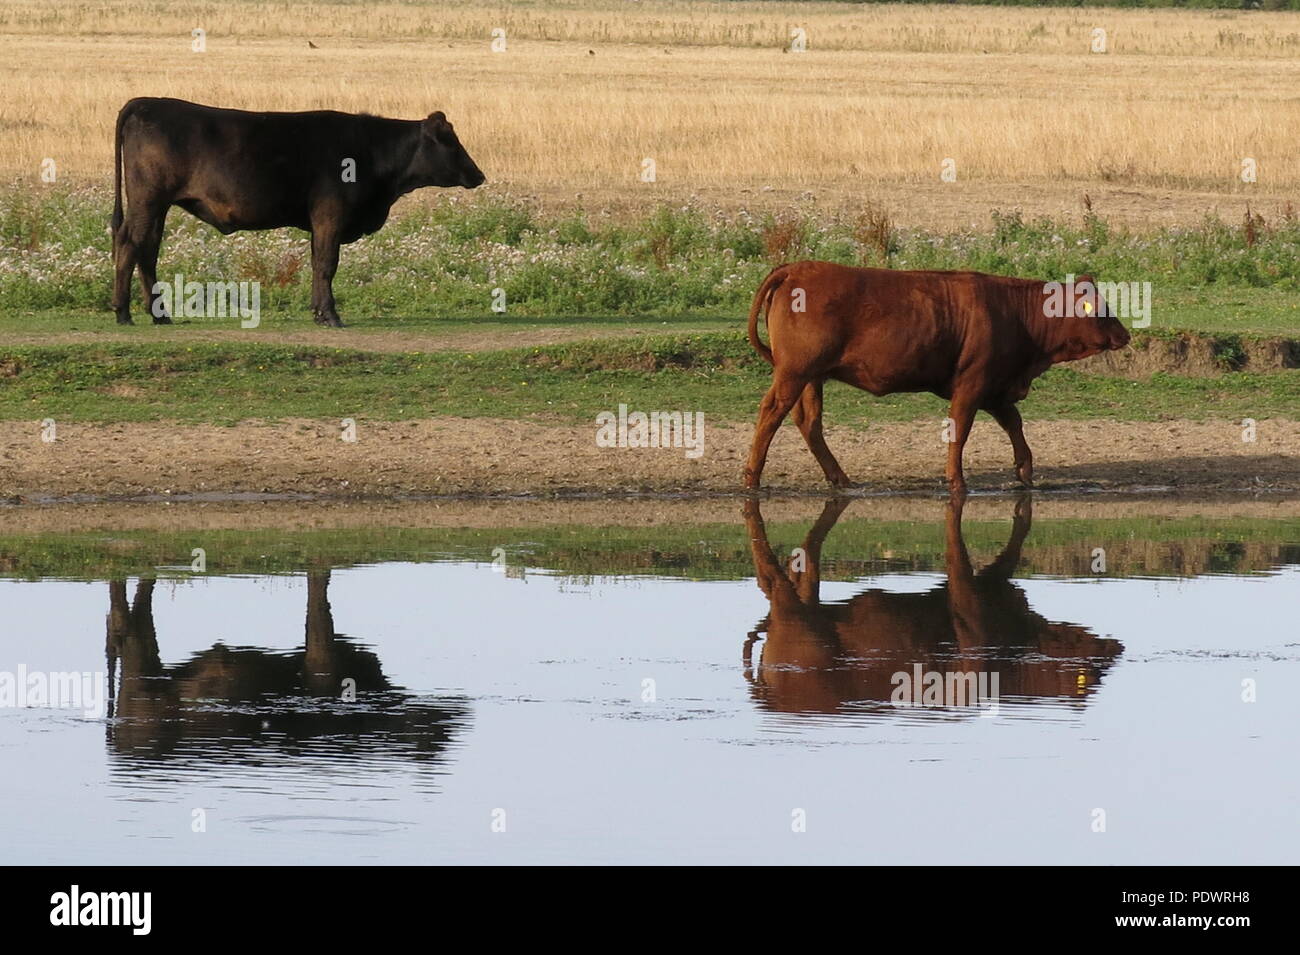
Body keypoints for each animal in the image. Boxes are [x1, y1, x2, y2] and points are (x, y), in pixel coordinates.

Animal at [111, 97, 486, 327]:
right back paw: (123, 313)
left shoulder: (319, 222)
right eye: (452, 143)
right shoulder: (331, 216)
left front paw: (318, 312)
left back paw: (159, 314)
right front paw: (331, 315)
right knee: (130, 245)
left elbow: (317, 263)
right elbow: (327, 265)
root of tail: (148, 102)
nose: (479, 175)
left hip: (156, 206)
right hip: (149, 200)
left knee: (147, 251)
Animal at [743, 262, 1131, 495]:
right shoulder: (973, 384)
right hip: (795, 372)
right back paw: (752, 476)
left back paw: (839, 478)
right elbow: (960, 432)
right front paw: (957, 481)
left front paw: (1025, 470)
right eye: (1103, 309)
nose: (1125, 335)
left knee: (808, 421)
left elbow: (1014, 424)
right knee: (771, 412)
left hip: (812, 377)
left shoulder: (995, 388)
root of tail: (797, 267)